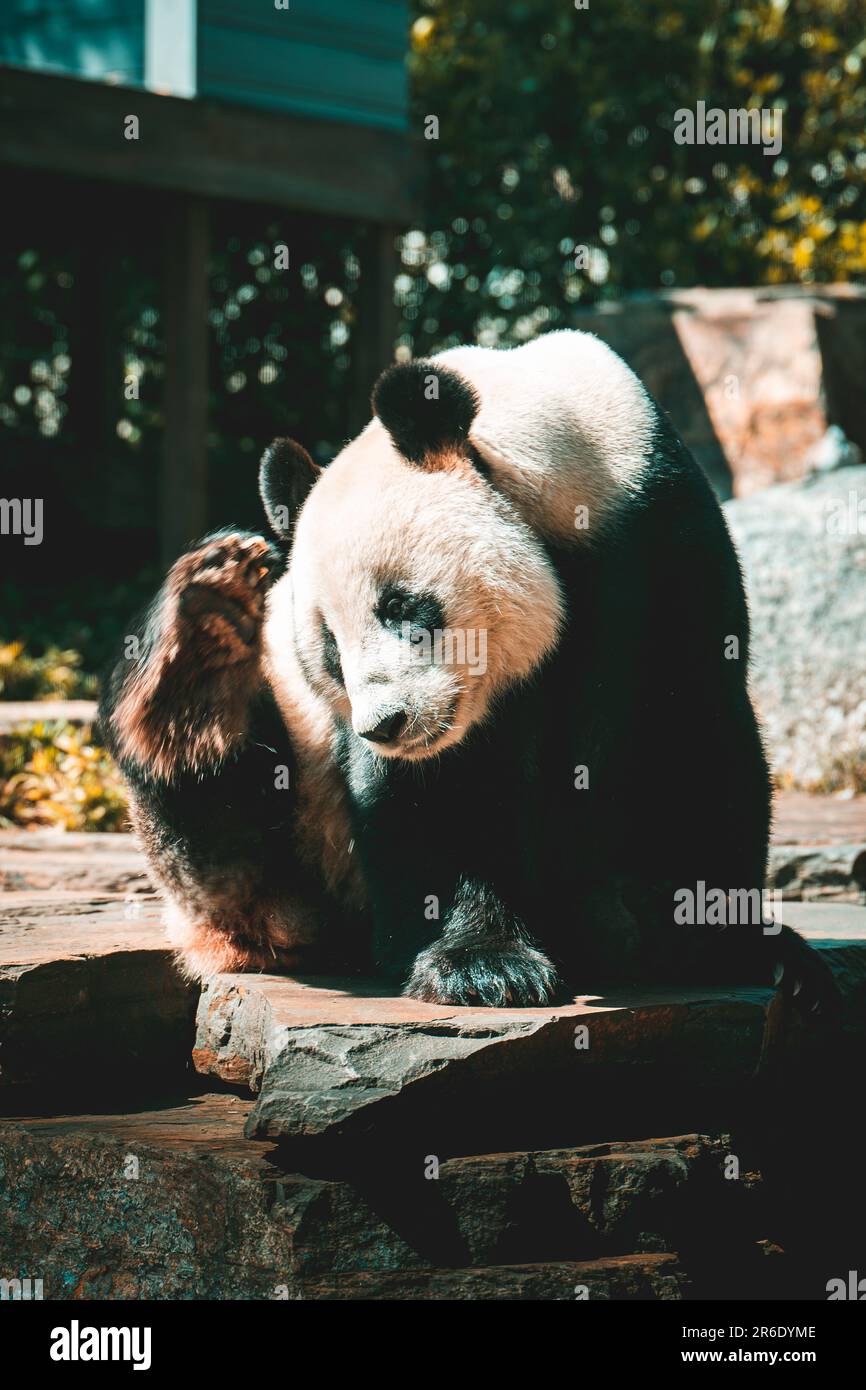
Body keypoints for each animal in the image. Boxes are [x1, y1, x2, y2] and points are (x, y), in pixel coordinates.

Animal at [101, 329, 835, 1013]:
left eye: (401, 607)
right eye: (331, 647)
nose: (385, 725)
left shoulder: (657, 537)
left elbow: (692, 732)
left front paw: (721, 942)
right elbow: (433, 798)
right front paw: (483, 967)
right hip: (298, 823)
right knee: (226, 825)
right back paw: (197, 664)